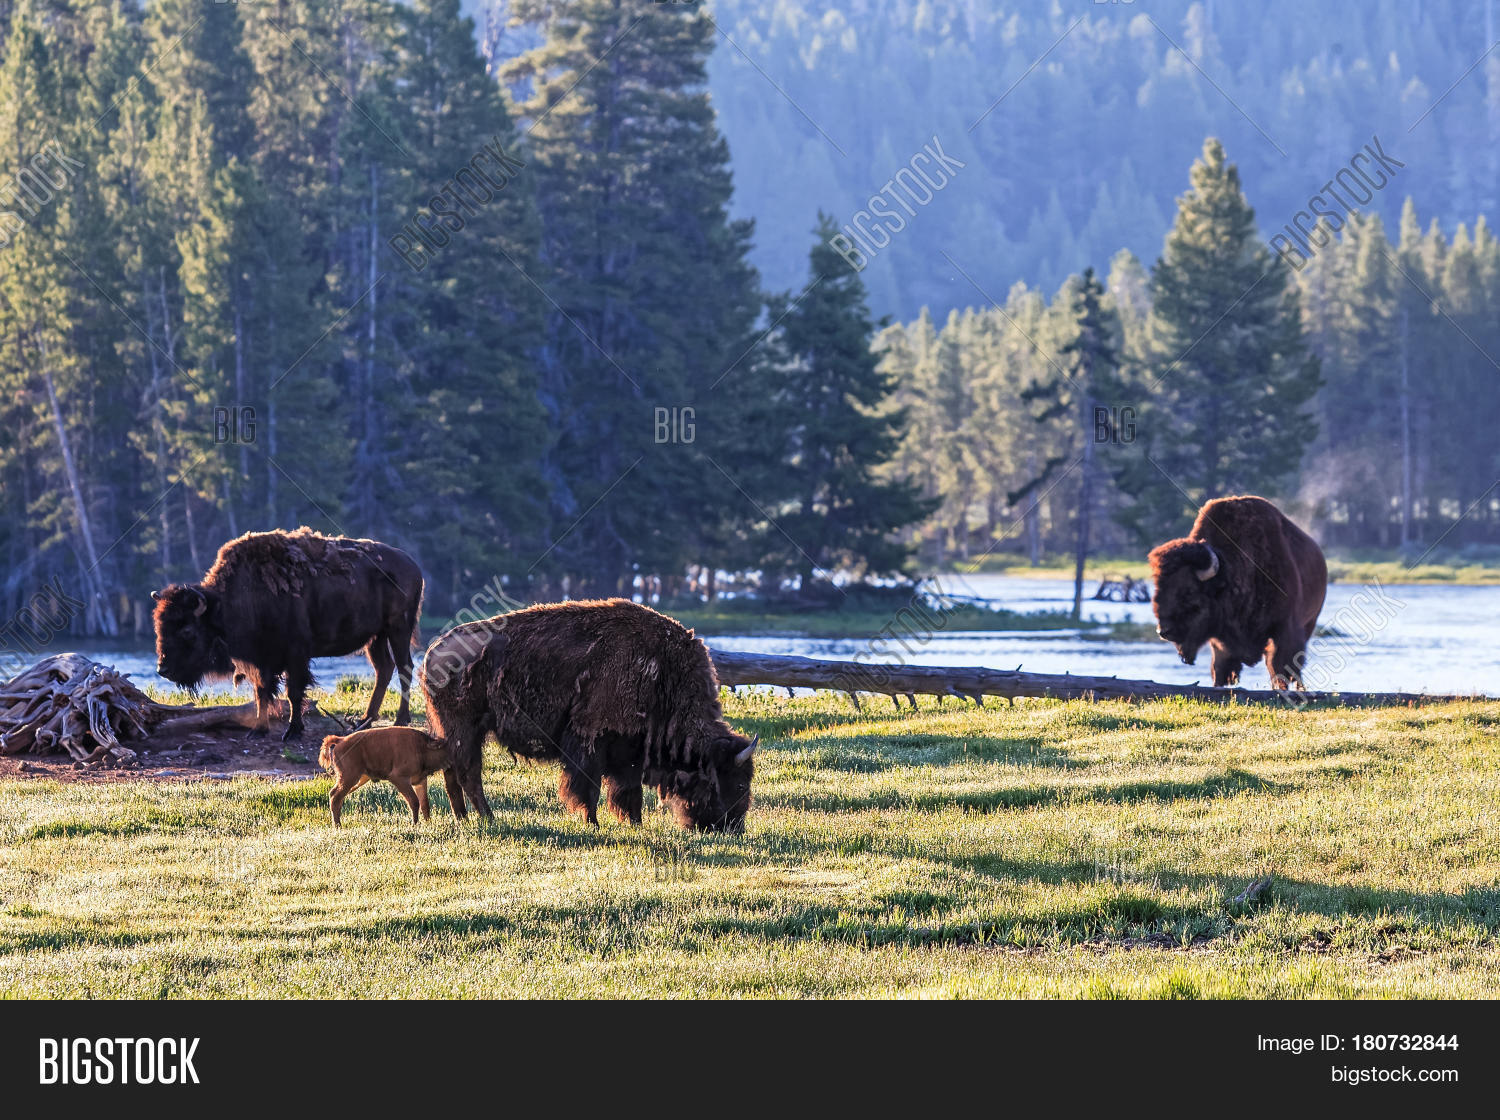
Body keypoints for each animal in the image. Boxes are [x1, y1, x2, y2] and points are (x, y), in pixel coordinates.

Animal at [153, 527, 424, 740]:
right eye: (159, 628)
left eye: (188, 630)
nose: (162, 669)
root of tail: (413, 566)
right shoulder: (260, 660)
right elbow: (261, 691)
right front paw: (258, 730)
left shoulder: (296, 655)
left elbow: (293, 692)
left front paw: (292, 731)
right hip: (375, 638)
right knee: (383, 669)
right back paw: (364, 720)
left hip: (398, 628)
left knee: (404, 667)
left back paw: (400, 719)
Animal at [421, 598, 758, 831]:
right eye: (740, 785)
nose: (733, 829)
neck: (664, 677)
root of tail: (431, 651)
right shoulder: (591, 741)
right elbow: (589, 788)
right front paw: (593, 823)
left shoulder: (630, 751)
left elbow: (628, 791)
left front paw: (635, 823)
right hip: (465, 730)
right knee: (468, 773)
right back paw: (488, 817)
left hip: (463, 732)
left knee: (456, 774)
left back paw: (467, 818)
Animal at [1148, 495, 1327, 689]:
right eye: (1158, 587)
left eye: (1189, 591)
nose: (1164, 631)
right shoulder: (1220, 642)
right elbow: (1220, 669)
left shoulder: (1285, 628)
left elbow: (1280, 665)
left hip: (1310, 622)